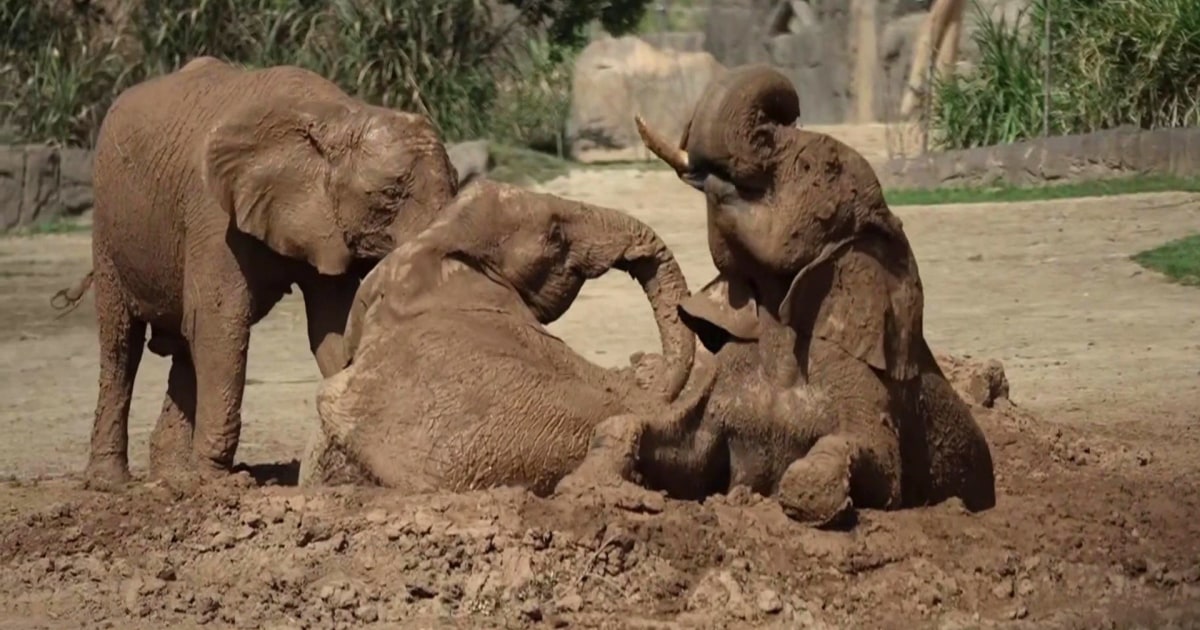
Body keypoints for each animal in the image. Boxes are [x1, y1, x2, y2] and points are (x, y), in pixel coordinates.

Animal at [51, 57, 458, 489]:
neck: (336, 116)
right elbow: (220, 322)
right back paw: (111, 481)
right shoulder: (213, 215)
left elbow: (332, 325)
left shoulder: (324, 224)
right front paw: (219, 484)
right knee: (121, 346)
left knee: (183, 346)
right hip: (108, 227)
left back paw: (172, 478)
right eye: (390, 195)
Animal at [561, 64, 996, 527]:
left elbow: (879, 466)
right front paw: (588, 486)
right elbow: (682, 451)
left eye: (817, 167)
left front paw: (801, 500)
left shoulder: (868, 386)